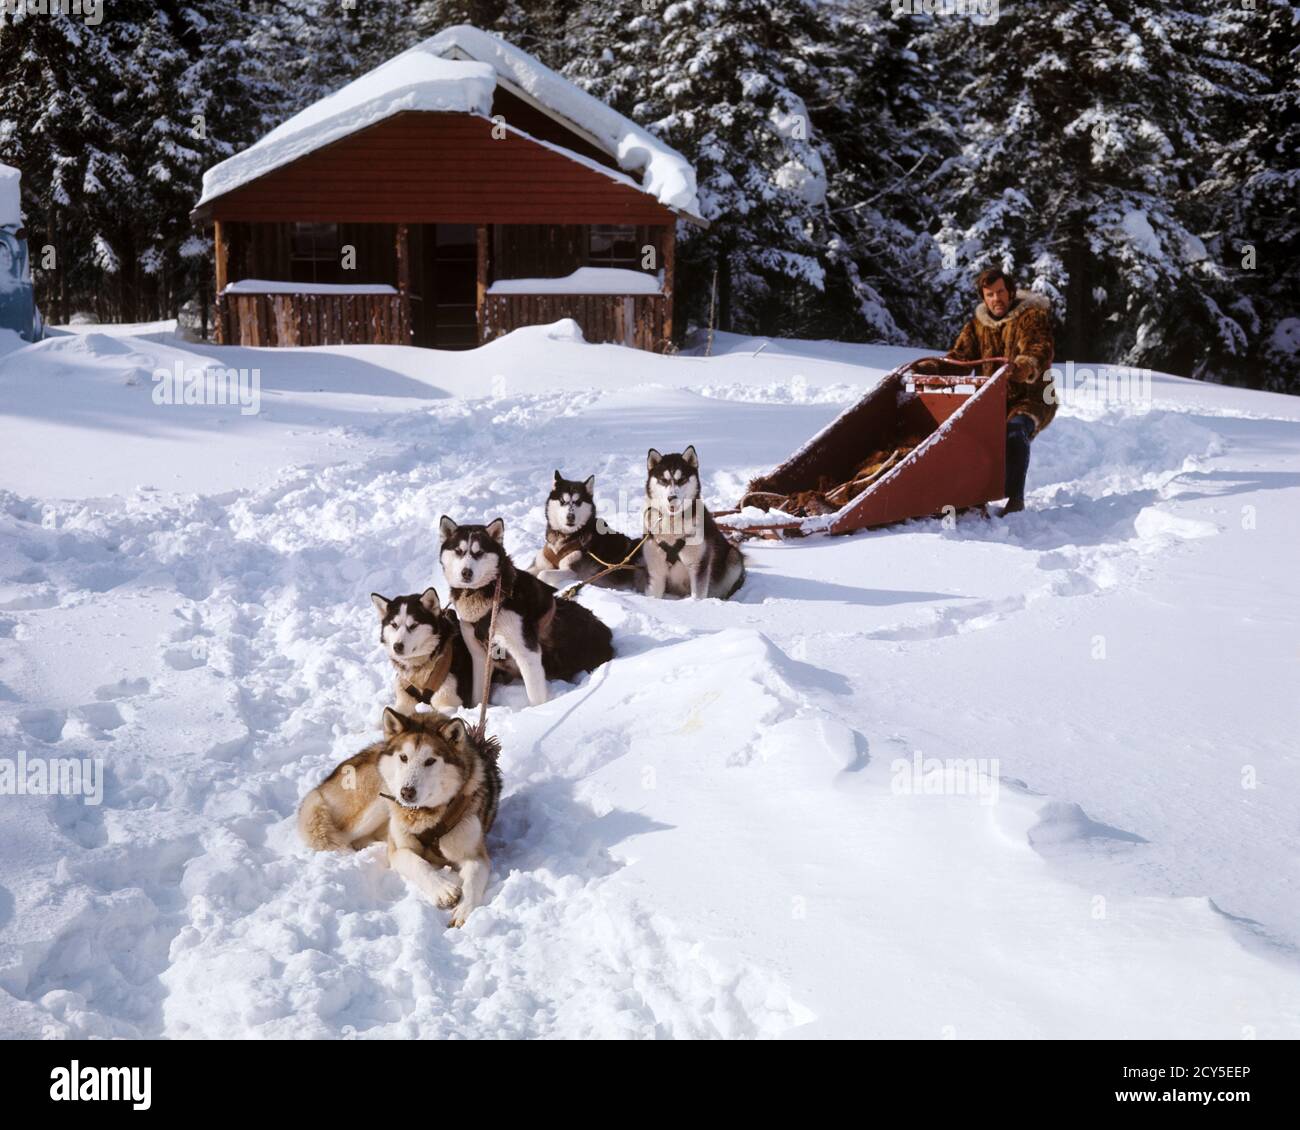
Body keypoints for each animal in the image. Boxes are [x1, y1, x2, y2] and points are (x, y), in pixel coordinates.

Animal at [297, 712, 499, 925]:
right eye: (403, 757)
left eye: (430, 761)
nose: (406, 792)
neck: (424, 815)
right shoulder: (401, 850)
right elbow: (416, 863)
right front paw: (443, 890)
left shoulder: (474, 855)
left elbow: (472, 881)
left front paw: (464, 911)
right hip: (377, 800)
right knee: (344, 838)